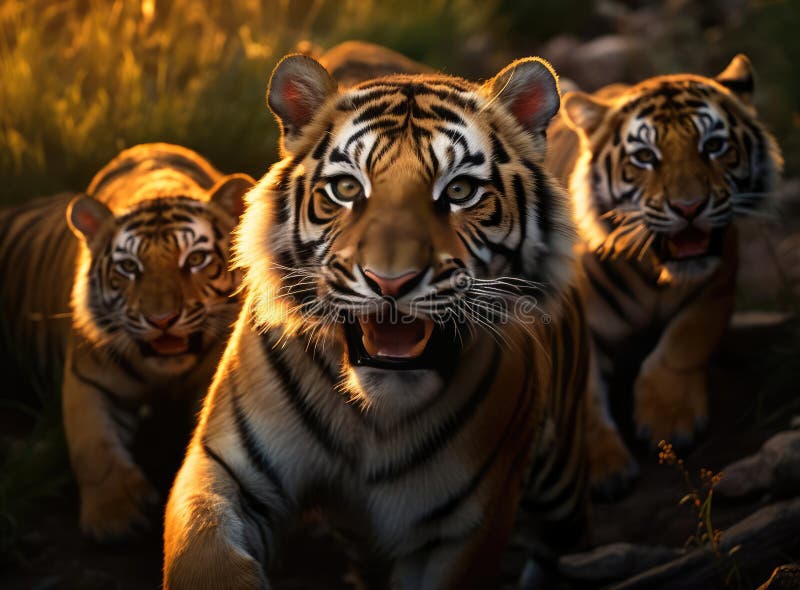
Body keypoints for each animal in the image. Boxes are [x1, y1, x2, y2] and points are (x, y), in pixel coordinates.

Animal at [0, 143, 254, 539]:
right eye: (129, 267)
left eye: (195, 259)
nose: (162, 320)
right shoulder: (88, 380)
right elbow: (92, 445)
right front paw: (116, 515)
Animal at [163, 50, 593, 590]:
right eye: (347, 187)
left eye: (460, 190)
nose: (390, 283)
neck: (372, 419)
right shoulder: (227, 471)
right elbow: (205, 552)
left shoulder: (465, 529)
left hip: (562, 478)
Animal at [545, 55, 784, 496]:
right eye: (644, 156)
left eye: (713, 146)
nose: (689, 207)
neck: (654, 274)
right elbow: (582, 394)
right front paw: (603, 470)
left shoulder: (717, 285)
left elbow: (685, 341)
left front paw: (669, 421)